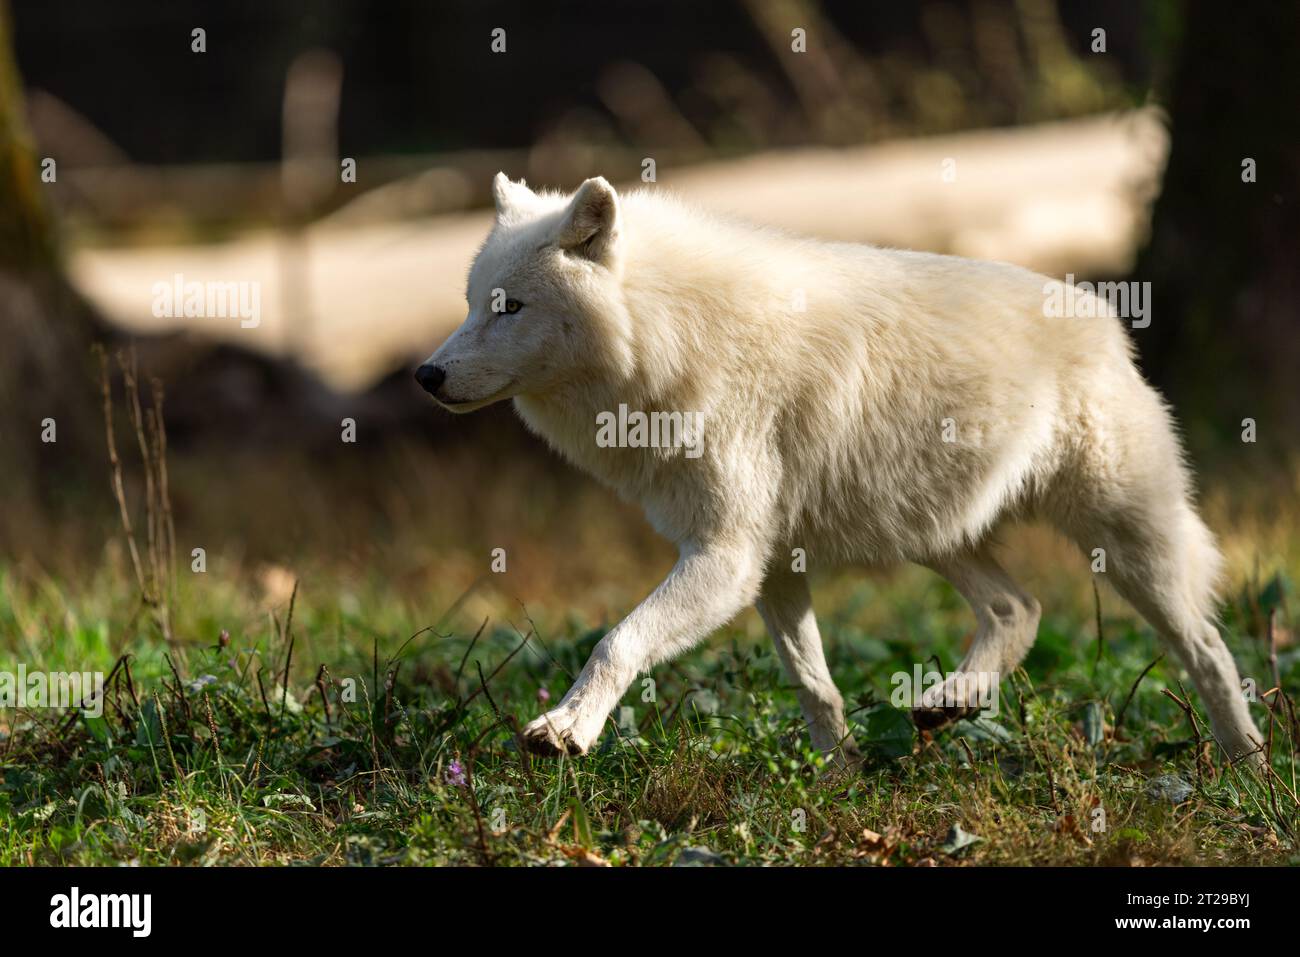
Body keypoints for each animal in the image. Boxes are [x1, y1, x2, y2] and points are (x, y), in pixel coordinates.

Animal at [415, 173, 1262, 768]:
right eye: (471, 301)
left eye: (510, 306)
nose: (426, 374)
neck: (671, 336)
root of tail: (1104, 314)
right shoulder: (767, 564)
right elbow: (814, 685)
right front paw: (839, 779)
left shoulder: (726, 557)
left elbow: (617, 640)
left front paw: (566, 728)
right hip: (933, 531)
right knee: (1020, 607)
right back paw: (950, 700)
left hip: (1124, 544)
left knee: (1209, 647)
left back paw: (1247, 764)